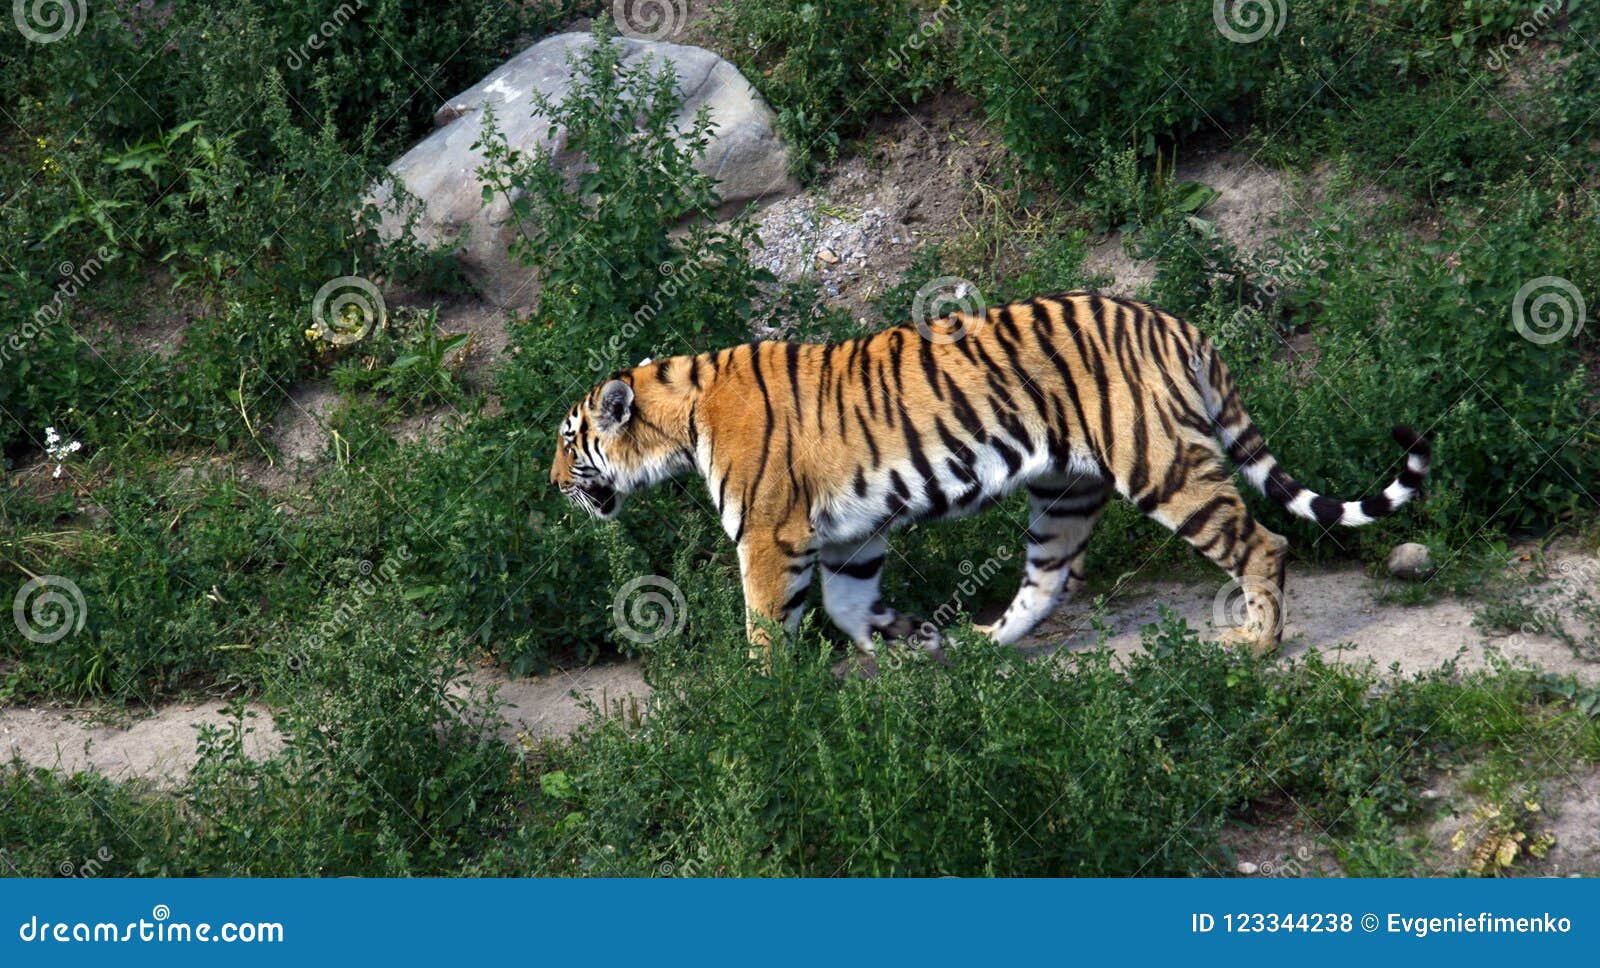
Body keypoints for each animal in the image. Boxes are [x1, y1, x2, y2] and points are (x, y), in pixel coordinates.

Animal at [551, 290, 1432, 659]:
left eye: (568, 439)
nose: (552, 481)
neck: (678, 417)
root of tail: (1173, 321)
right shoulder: (850, 535)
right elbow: (845, 605)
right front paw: (907, 639)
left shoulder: (769, 535)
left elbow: (766, 624)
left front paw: (763, 697)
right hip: (1064, 493)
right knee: (1046, 582)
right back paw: (979, 645)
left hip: (1161, 464)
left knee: (1263, 545)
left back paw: (1254, 643)